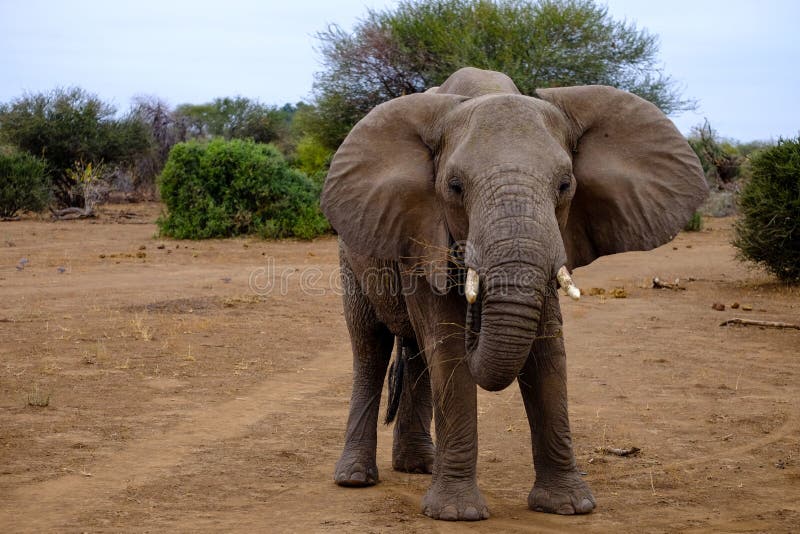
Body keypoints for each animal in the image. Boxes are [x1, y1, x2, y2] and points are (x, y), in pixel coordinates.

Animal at [320, 67, 707, 521]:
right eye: (454, 186)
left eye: (565, 184)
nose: (475, 297)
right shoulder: (423, 233)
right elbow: (448, 345)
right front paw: (457, 514)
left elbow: (547, 351)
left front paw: (569, 506)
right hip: (352, 251)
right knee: (371, 347)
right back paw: (354, 478)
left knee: (415, 354)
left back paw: (419, 466)